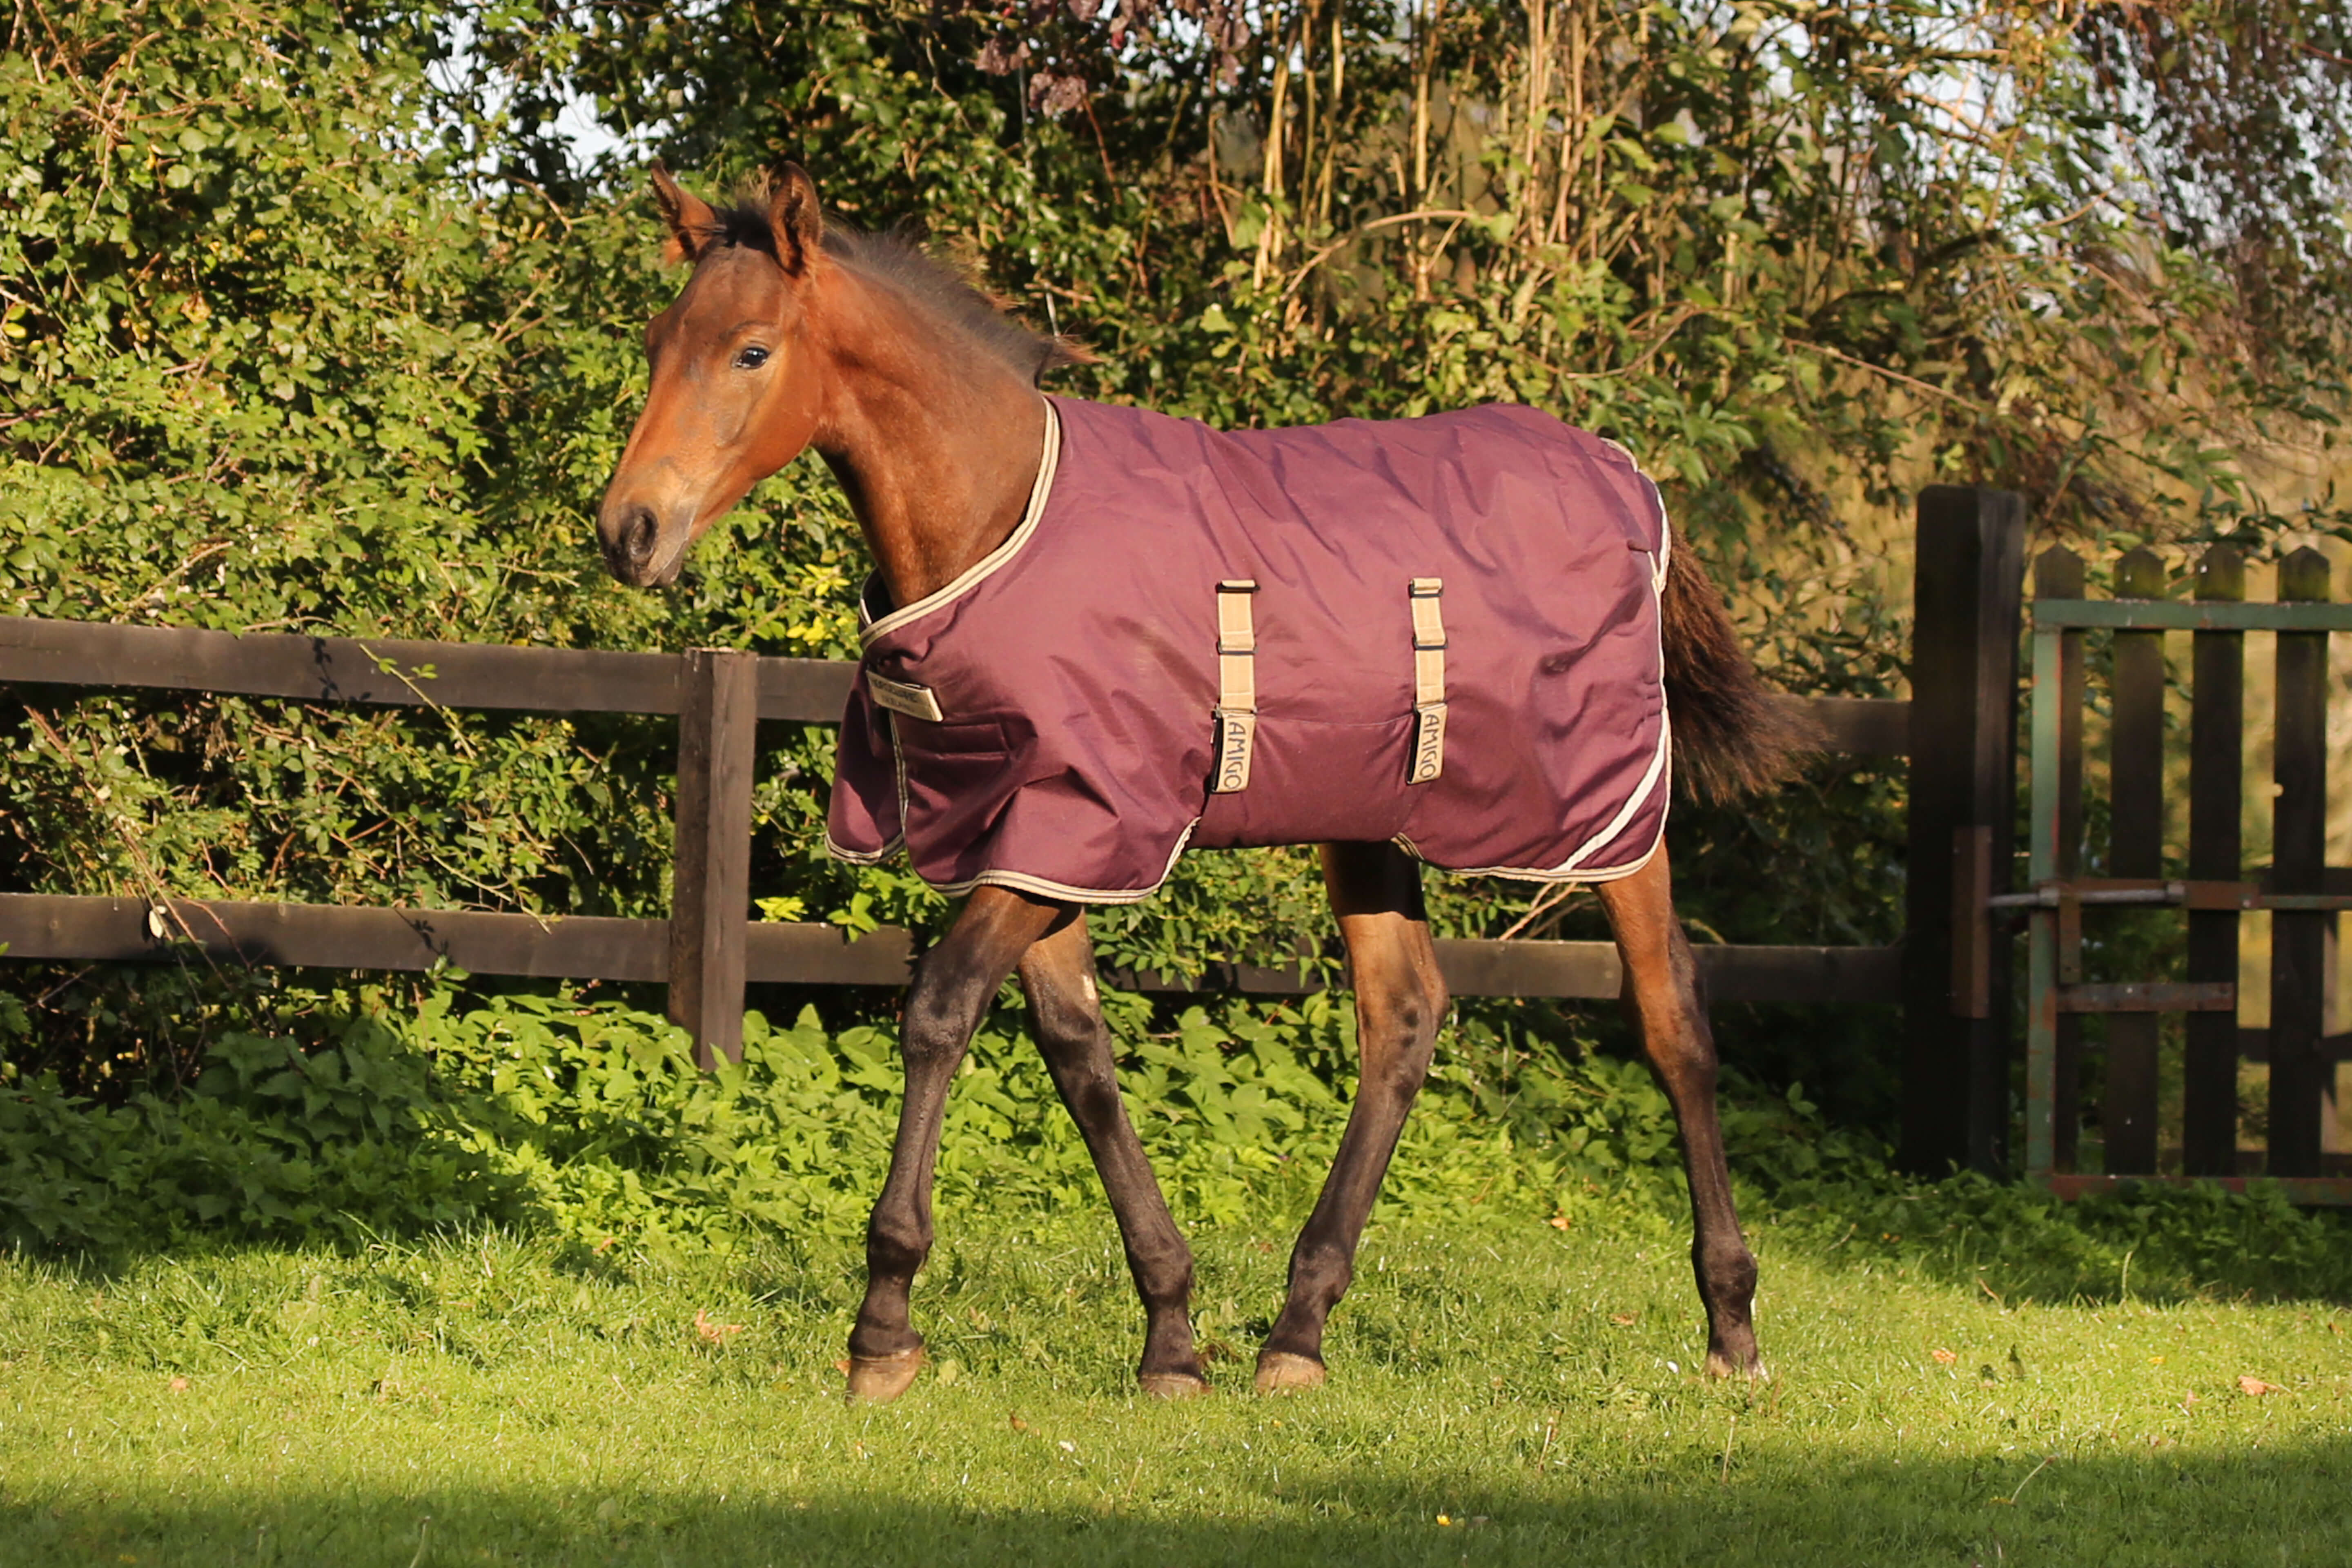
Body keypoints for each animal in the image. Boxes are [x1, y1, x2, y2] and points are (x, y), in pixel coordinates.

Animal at [597, 163, 1794, 1402]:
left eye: (750, 350)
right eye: (655, 341)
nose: (627, 530)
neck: (999, 514)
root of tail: (1624, 476)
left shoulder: (1079, 825)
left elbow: (939, 1013)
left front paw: (882, 1329)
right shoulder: (1033, 842)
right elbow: (1078, 1053)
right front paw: (1172, 1333)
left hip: (1607, 816)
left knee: (1670, 1021)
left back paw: (1731, 1326)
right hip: (1365, 823)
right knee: (1403, 1018)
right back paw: (1297, 1331)